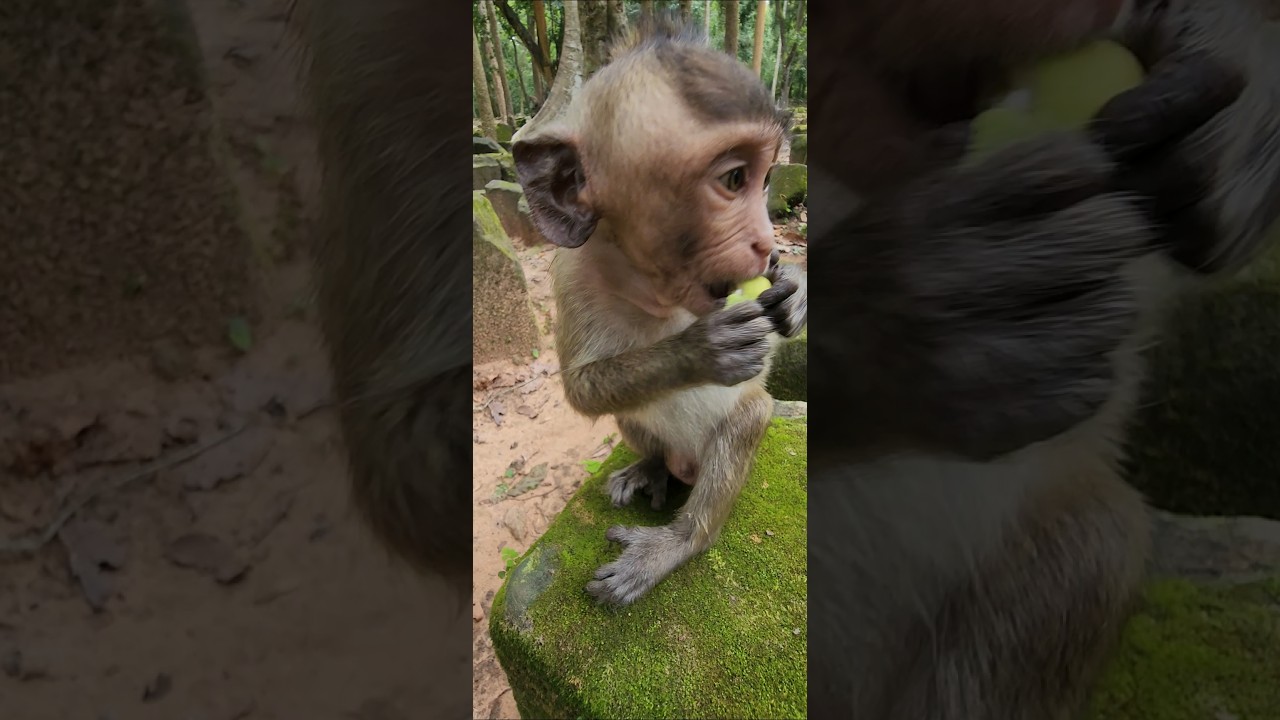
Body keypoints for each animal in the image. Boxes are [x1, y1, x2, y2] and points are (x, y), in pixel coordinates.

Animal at [511, 15, 808, 607]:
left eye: (768, 179)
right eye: (735, 179)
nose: (767, 243)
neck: (652, 287)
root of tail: (684, 463)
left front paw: (793, 291)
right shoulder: (570, 275)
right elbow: (581, 387)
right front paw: (703, 350)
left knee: (749, 415)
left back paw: (682, 540)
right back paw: (650, 468)